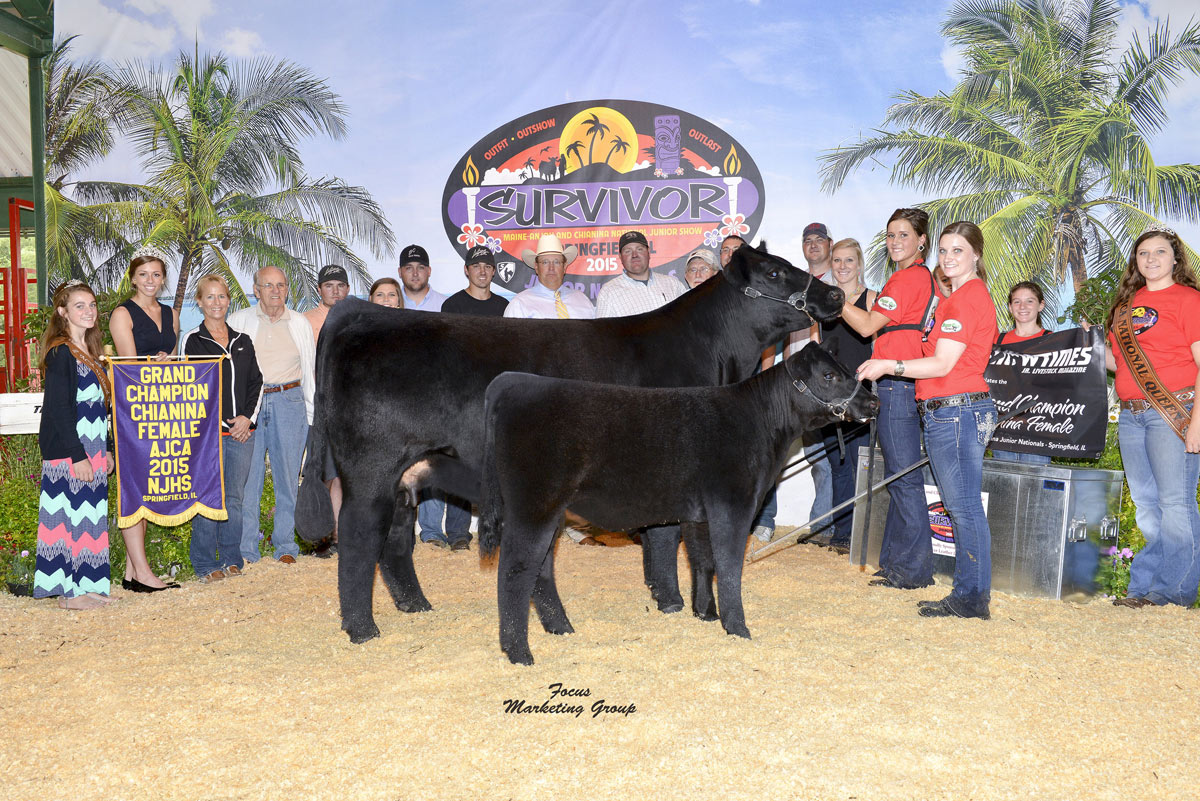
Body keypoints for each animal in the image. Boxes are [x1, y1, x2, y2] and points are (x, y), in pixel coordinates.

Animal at [296, 244, 845, 644]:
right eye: (775, 272)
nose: (837, 297)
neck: (714, 354)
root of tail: (360, 312)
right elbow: (665, 535)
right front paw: (670, 600)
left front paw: (663, 597)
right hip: (371, 469)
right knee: (358, 538)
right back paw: (363, 629)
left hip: (409, 474)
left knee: (393, 542)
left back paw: (416, 607)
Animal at [476, 346, 878, 664]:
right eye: (829, 375)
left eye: (846, 368)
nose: (873, 402)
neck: (760, 421)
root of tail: (513, 383)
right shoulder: (732, 506)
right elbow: (729, 567)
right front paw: (738, 628)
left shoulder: (698, 513)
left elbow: (703, 561)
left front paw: (705, 614)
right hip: (533, 508)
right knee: (515, 572)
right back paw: (519, 652)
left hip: (550, 511)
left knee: (541, 570)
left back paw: (561, 628)